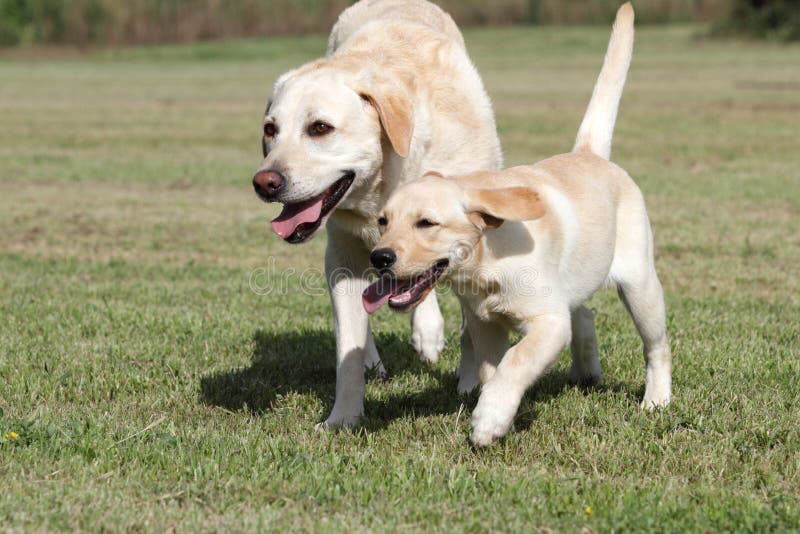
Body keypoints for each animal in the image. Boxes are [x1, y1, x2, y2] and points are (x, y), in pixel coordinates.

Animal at [253, 0, 500, 430]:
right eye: (271, 129)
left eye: (320, 128)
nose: (265, 182)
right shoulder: (342, 256)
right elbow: (347, 348)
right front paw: (343, 420)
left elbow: (459, 312)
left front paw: (460, 370)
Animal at [362, 5, 668, 448]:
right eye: (383, 221)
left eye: (427, 223)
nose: (379, 257)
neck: (487, 263)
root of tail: (590, 153)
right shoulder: (485, 325)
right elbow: (492, 370)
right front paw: (496, 411)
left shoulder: (548, 321)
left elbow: (517, 361)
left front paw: (489, 421)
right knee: (586, 313)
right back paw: (587, 372)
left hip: (641, 285)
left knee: (656, 347)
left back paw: (657, 399)